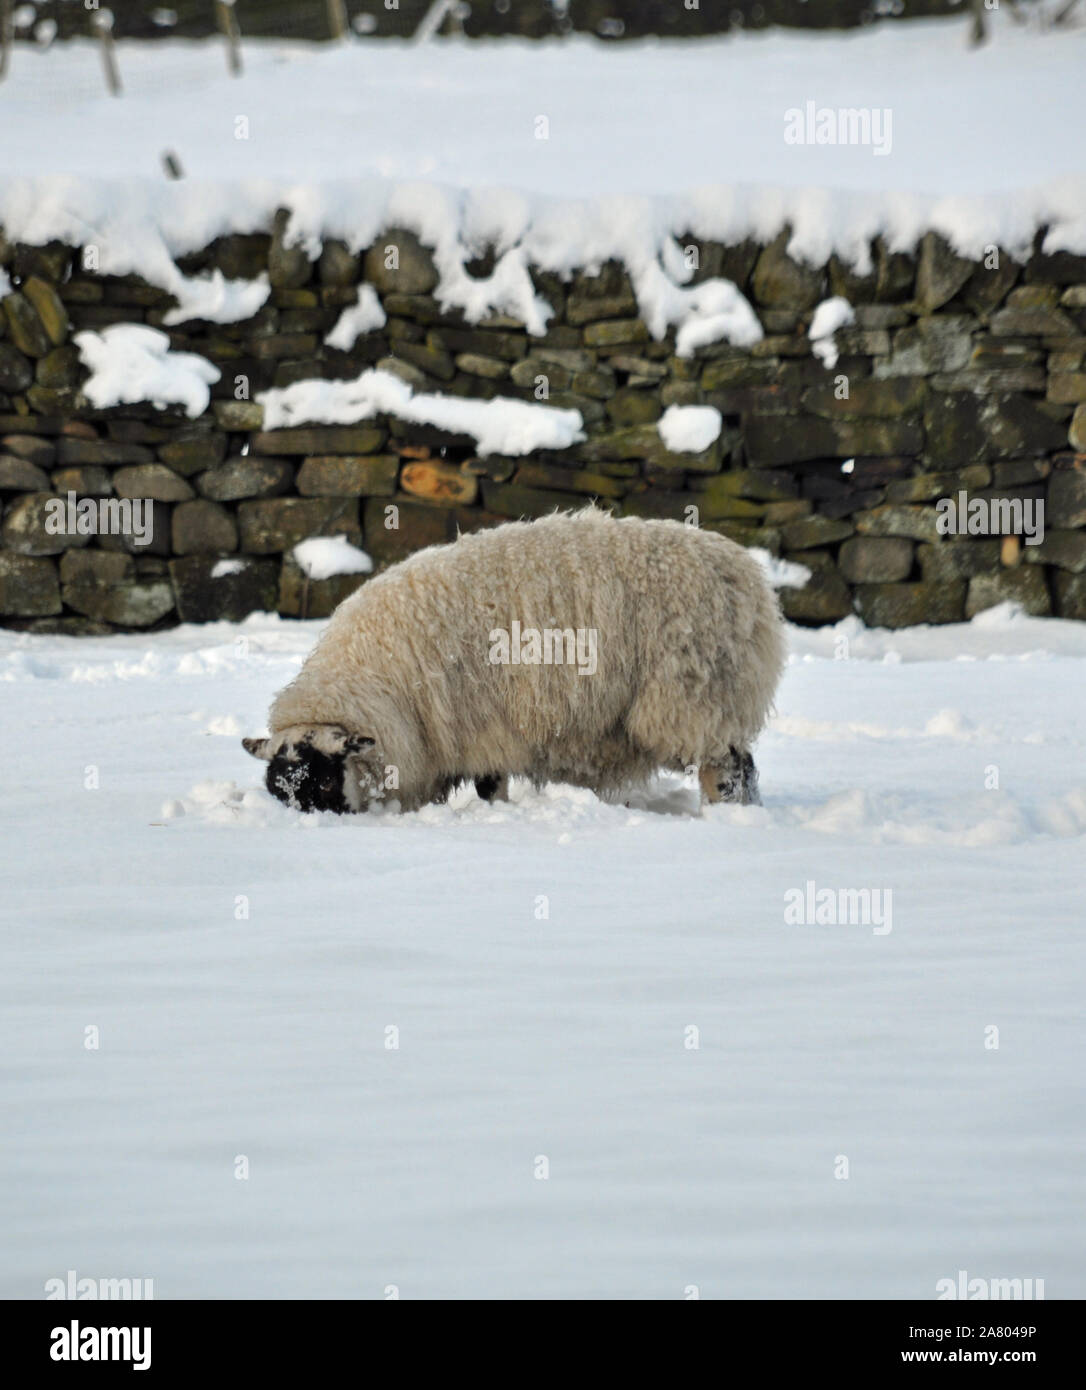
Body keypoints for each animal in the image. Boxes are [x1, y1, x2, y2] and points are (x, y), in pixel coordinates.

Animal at [243, 508, 785, 814]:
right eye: (278, 794)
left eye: (323, 783)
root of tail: (749, 576)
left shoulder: (485, 726)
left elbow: (490, 786)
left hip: (696, 695)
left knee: (730, 769)